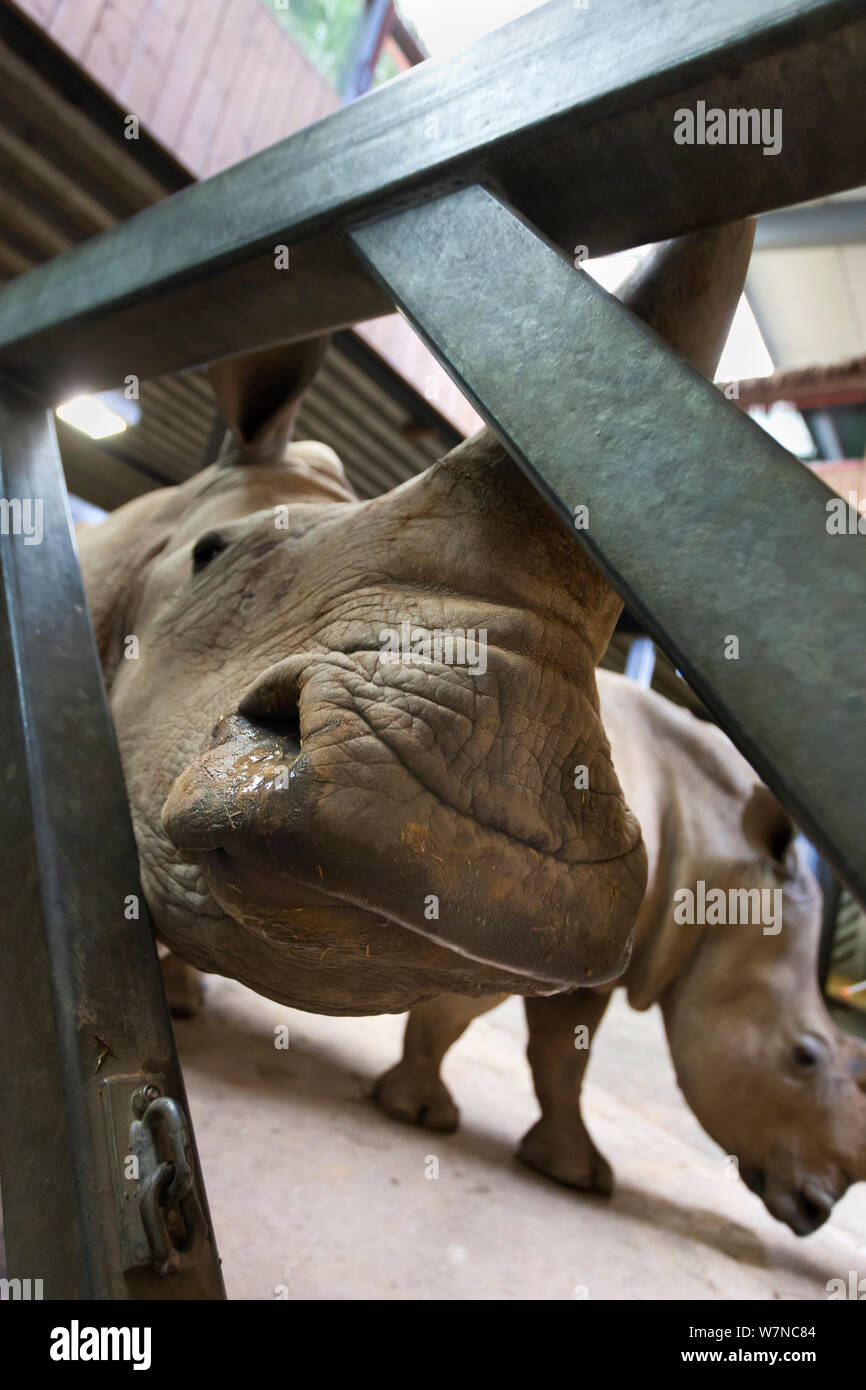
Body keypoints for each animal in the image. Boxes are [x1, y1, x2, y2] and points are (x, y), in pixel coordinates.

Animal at [374, 669, 866, 1235]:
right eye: (804, 1056)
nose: (815, 1210)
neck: (721, 871)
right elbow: (452, 1017)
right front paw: (418, 1115)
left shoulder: (590, 957)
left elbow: (564, 1059)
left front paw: (574, 1174)